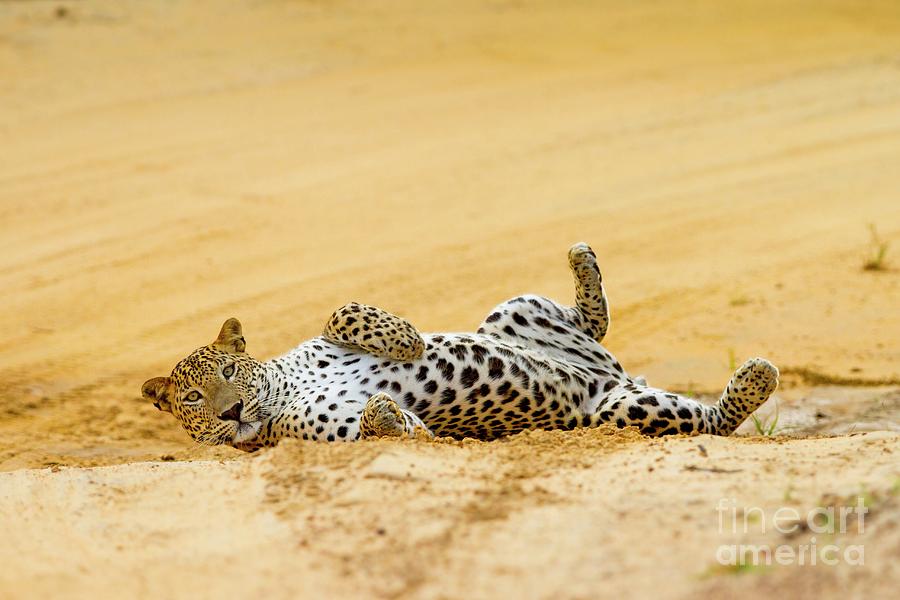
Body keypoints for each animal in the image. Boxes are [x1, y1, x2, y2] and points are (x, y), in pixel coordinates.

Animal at [141, 242, 779, 449]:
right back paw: (757, 374)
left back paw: (582, 260)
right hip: (622, 411)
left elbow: (342, 309)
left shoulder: (323, 332)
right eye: (192, 399)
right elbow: (396, 429)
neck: (281, 389)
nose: (231, 411)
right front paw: (386, 411)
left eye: (229, 372)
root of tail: (615, 377)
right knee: (716, 421)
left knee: (591, 322)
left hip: (515, 310)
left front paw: (407, 342)